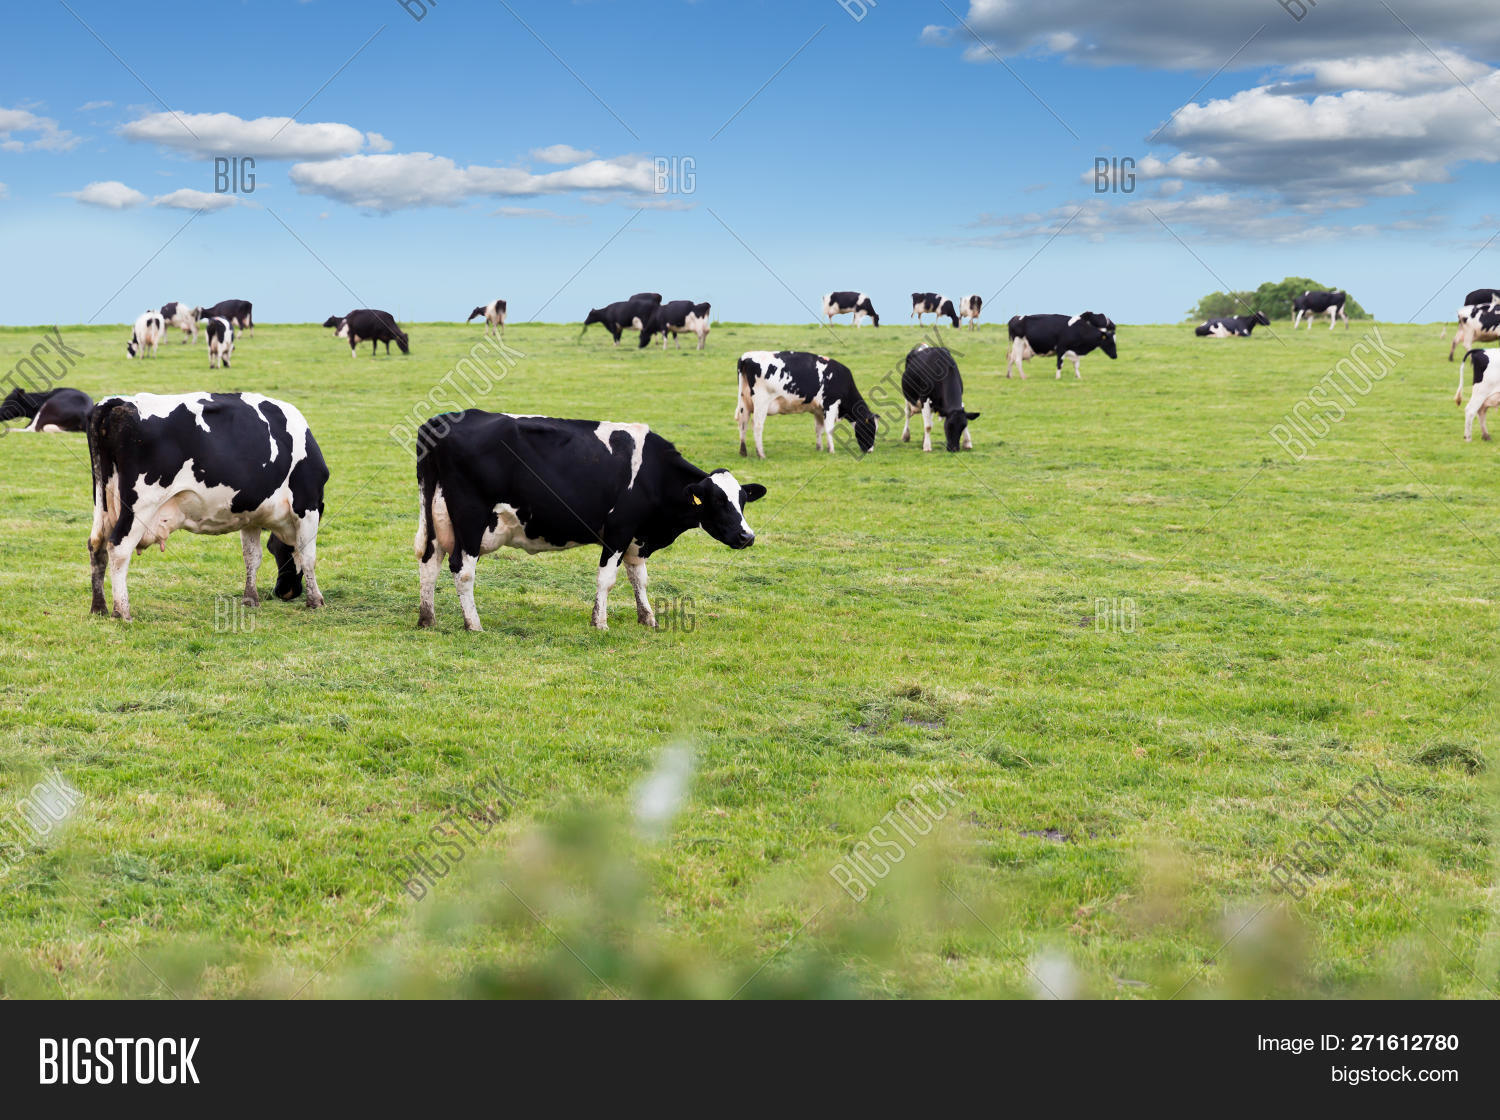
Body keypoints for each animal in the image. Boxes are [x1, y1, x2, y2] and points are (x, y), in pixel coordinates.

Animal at [86, 392, 328, 621]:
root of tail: (117, 402)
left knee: (97, 545)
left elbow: (252, 557)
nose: (284, 592)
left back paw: (99, 608)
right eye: (279, 552)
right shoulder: (307, 506)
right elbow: (308, 555)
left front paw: (250, 598)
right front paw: (315, 600)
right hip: (139, 507)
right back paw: (122, 612)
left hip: (102, 503)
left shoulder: (250, 515)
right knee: (118, 547)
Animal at [413, 411, 766, 631]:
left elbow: (639, 579)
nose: (747, 537)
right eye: (718, 501)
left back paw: (427, 619)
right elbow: (607, 579)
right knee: (462, 569)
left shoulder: (636, 537)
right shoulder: (619, 530)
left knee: (429, 562)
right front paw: (600, 622)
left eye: (742, 500)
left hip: (436, 519)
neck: (653, 473)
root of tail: (440, 421)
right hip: (471, 520)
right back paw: (474, 624)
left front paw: (648, 618)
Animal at [735, 351, 877, 459]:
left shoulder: (819, 410)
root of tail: (747, 357)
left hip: (744, 403)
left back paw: (743, 452)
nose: (870, 450)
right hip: (761, 402)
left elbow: (818, 428)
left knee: (743, 424)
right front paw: (831, 450)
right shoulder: (830, 405)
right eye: (870, 429)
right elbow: (829, 428)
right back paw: (761, 454)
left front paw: (820, 448)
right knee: (757, 426)